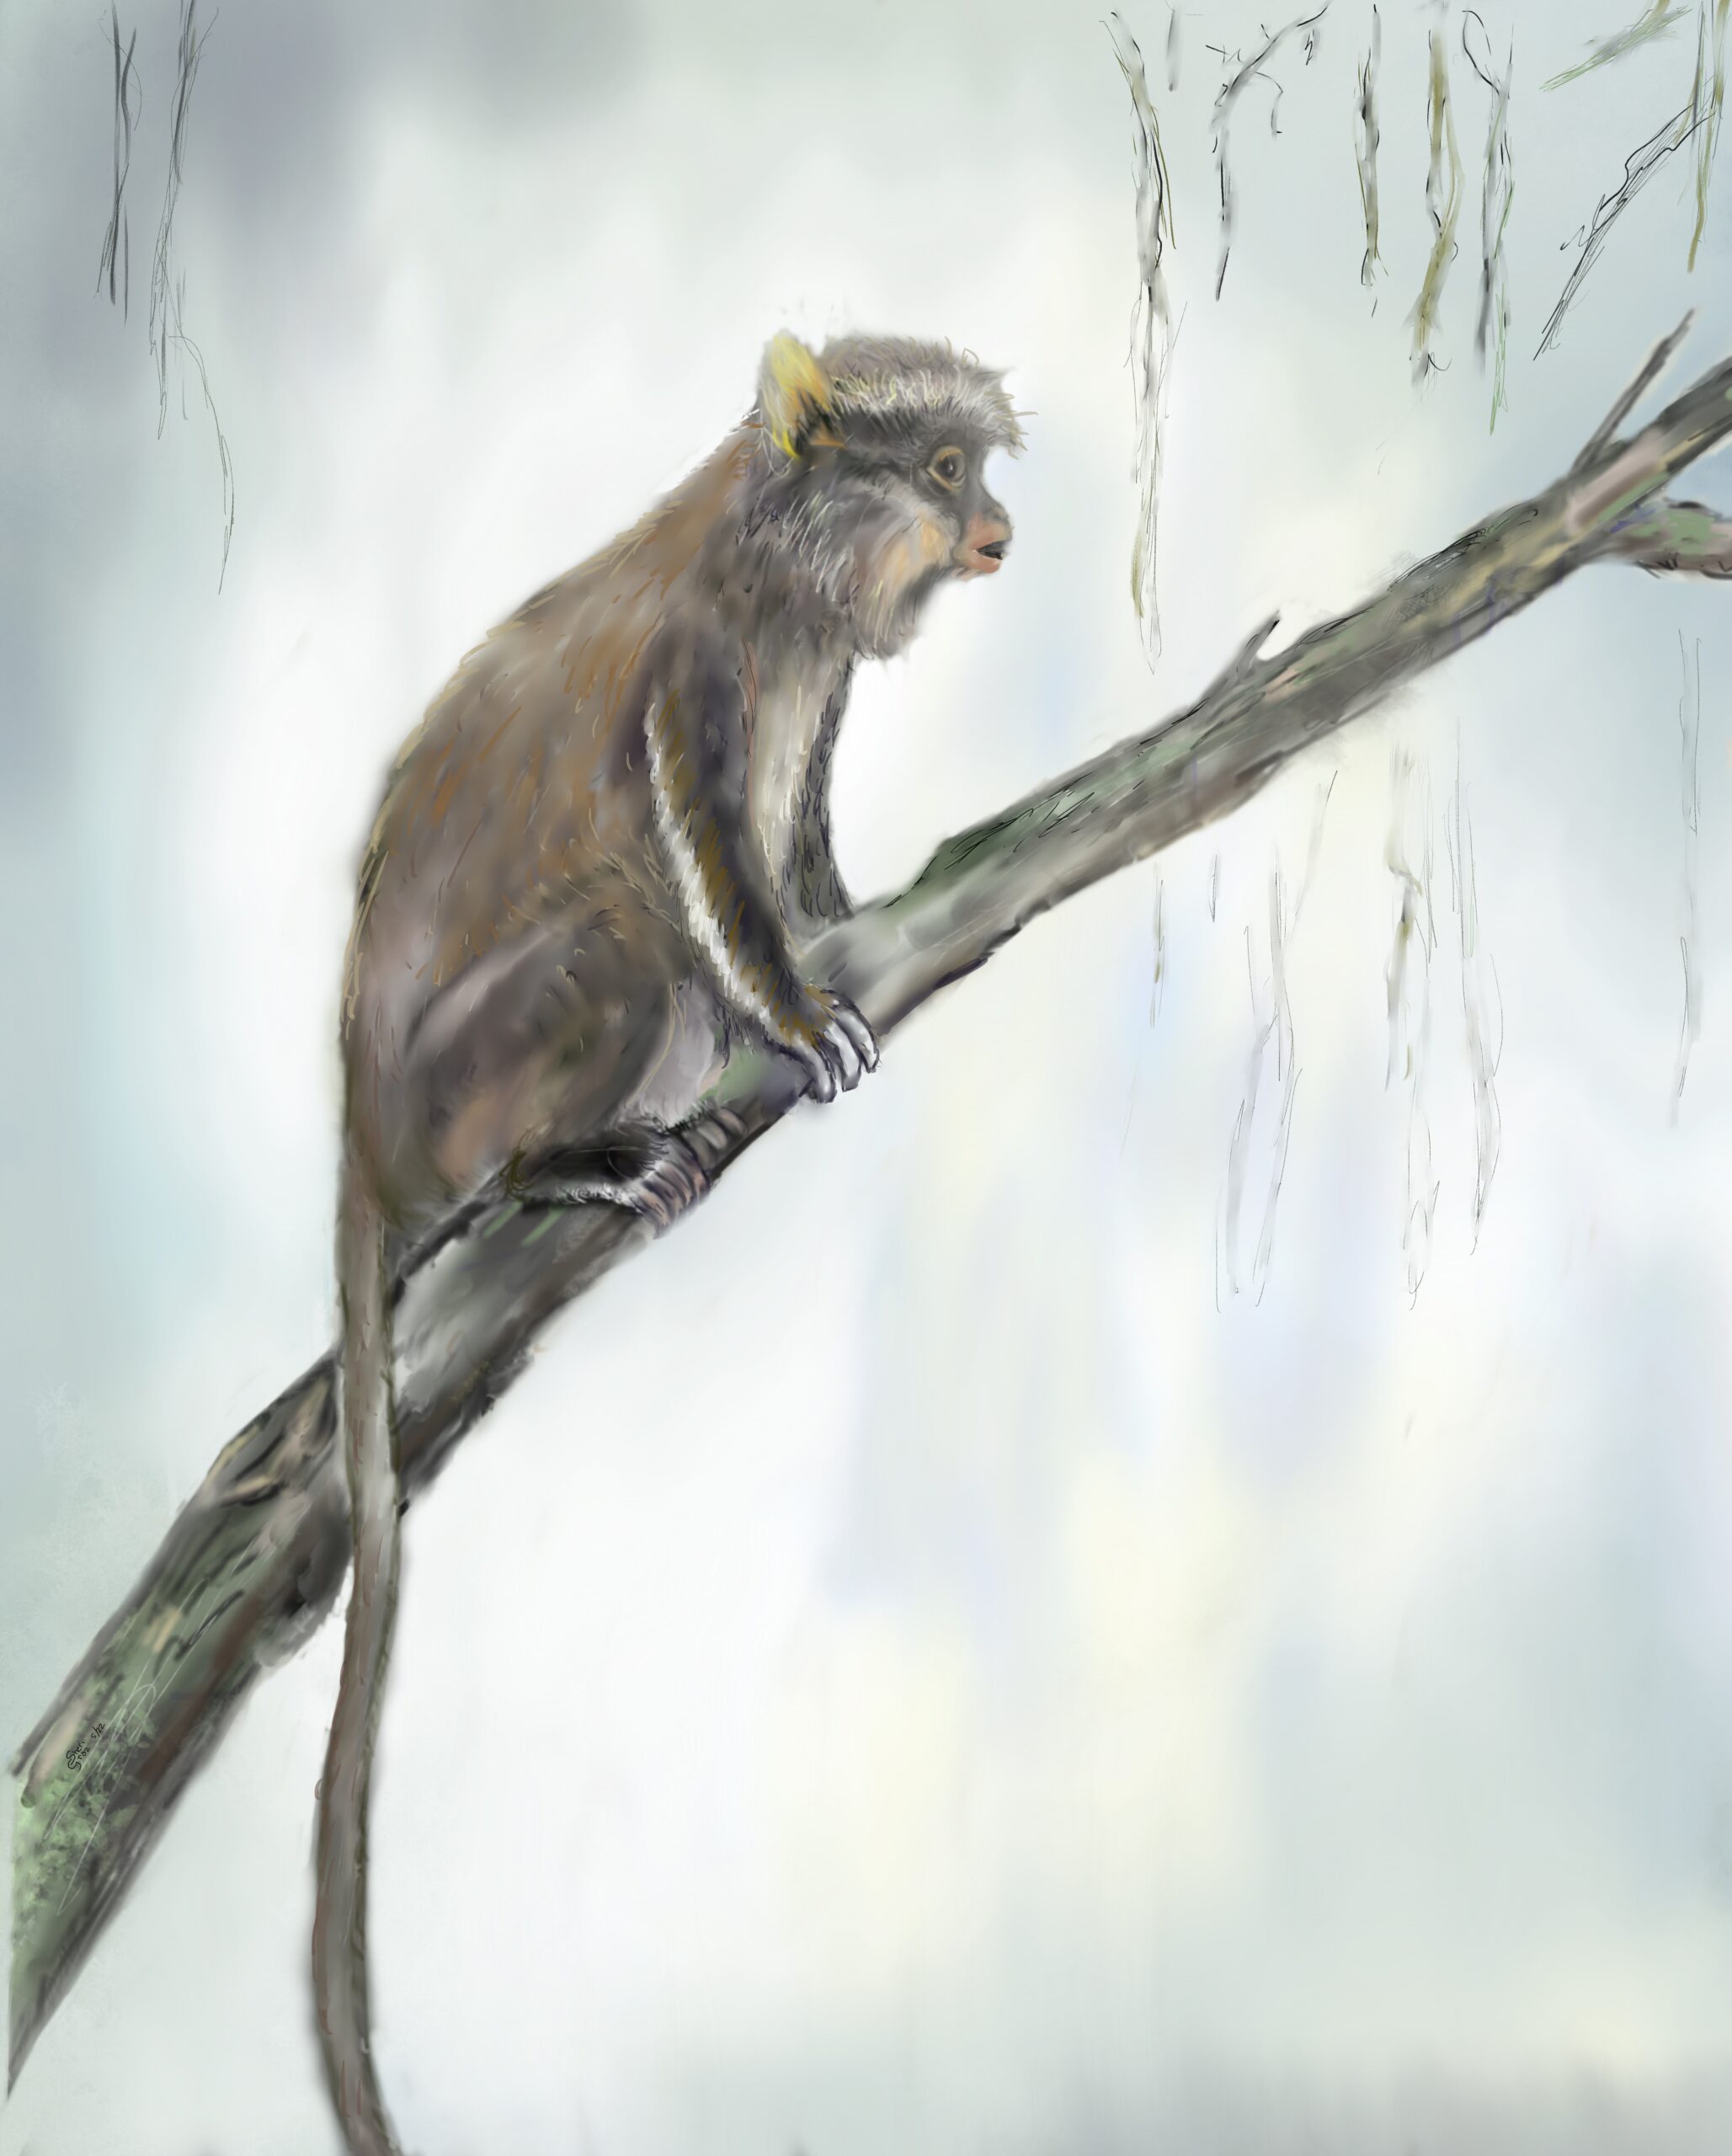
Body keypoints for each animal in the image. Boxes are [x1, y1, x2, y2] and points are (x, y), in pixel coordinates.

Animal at [311, 330, 1020, 2154]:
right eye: (937, 473)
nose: (995, 535)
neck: (773, 566)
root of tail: (360, 1133)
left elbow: (803, 866)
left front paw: (841, 937)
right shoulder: (696, 671)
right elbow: (712, 863)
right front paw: (799, 1010)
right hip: (494, 1057)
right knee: (634, 931)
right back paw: (559, 1162)